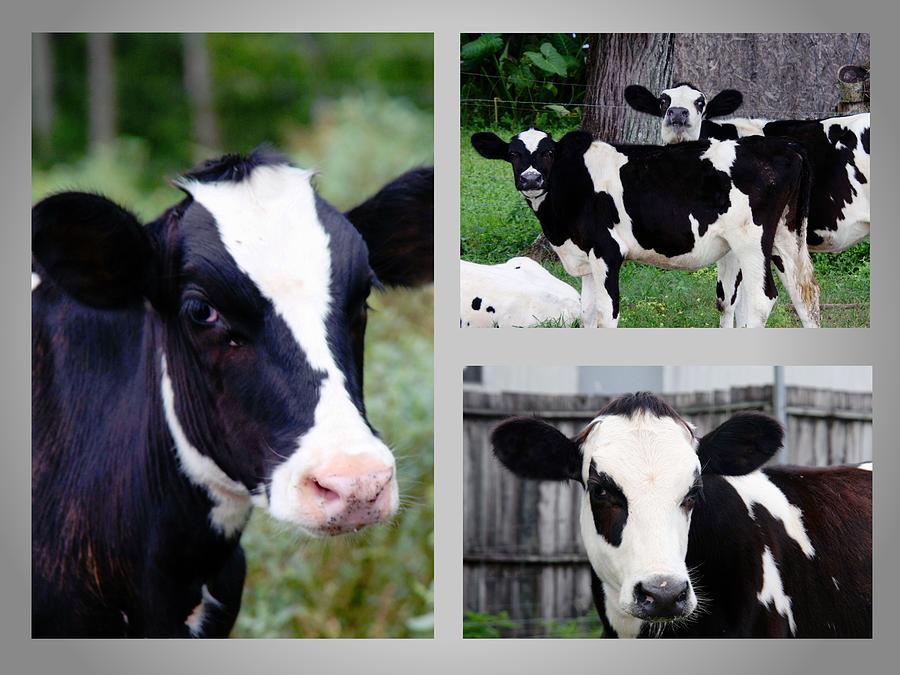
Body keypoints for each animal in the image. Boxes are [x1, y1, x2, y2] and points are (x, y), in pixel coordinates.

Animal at [470, 129, 820, 328]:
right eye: (512, 154)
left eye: (548, 152)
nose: (531, 180)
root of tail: (785, 144)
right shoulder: (585, 259)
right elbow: (587, 314)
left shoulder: (607, 251)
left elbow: (606, 314)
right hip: (784, 237)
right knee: (805, 295)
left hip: (752, 239)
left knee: (762, 299)